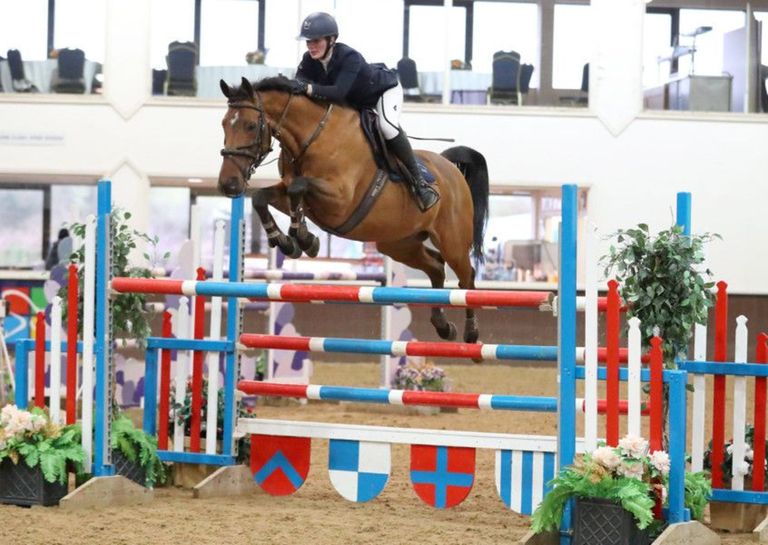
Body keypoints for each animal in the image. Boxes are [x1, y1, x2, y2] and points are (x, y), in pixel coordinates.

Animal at [217, 76, 489, 344]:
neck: (312, 136)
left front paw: (303, 238)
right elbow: (262, 198)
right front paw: (287, 240)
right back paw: (443, 326)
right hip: (399, 243)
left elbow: (298, 187)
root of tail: (450, 168)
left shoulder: (340, 201)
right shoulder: (292, 195)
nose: (228, 184)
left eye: (250, 126)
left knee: (466, 276)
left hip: (452, 241)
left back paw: (471, 332)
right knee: (435, 266)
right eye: (224, 125)